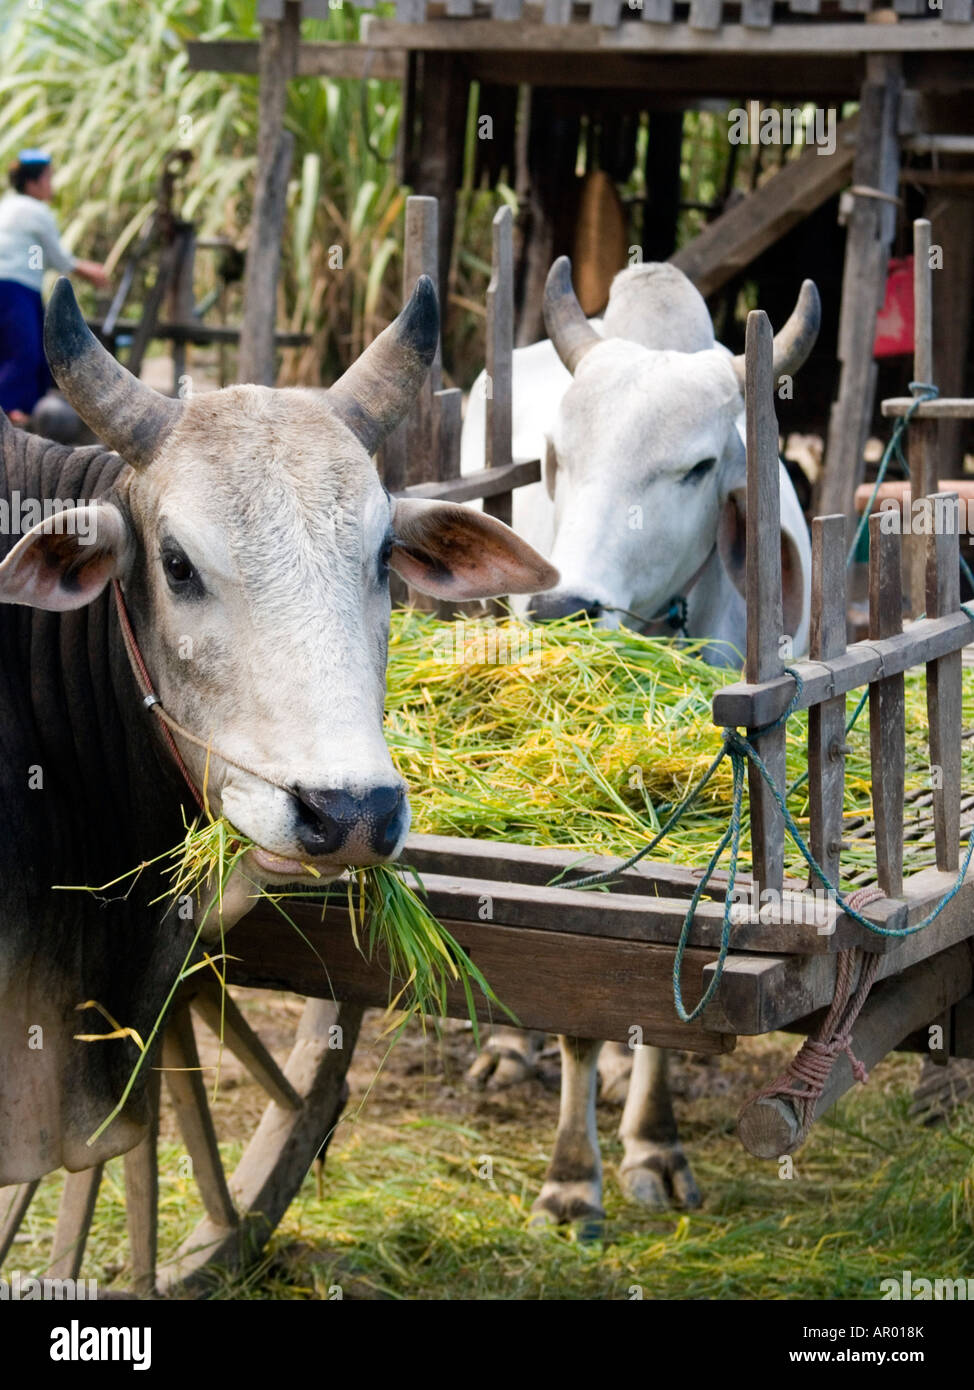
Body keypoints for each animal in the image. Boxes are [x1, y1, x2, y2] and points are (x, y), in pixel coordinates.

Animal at [460, 258, 821, 1228]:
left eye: (696, 467)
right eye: (557, 458)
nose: (560, 606)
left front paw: (655, 1143)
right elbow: (578, 1005)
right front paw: (570, 1181)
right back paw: (507, 1049)